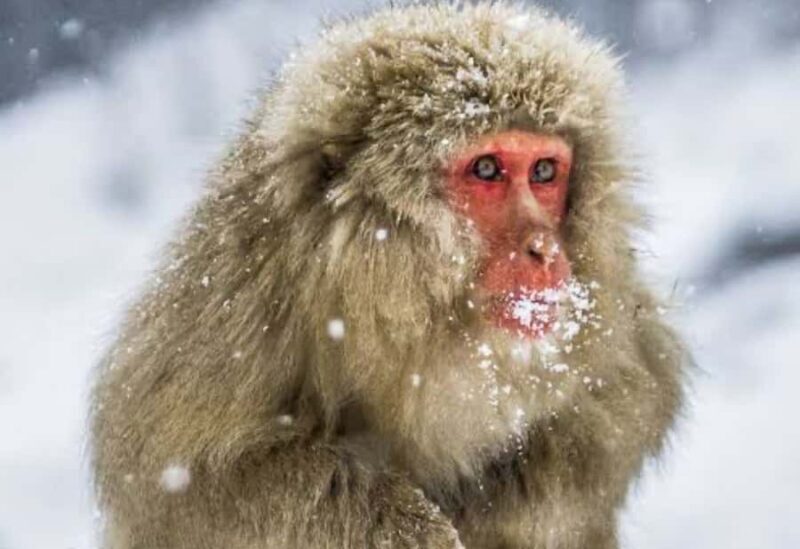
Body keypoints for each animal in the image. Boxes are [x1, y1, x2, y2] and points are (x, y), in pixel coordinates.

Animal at [90, 3, 687, 548]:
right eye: (487, 169)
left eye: (544, 172)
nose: (545, 249)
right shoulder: (240, 303)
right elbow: (186, 485)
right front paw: (403, 525)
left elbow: (634, 386)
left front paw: (508, 500)